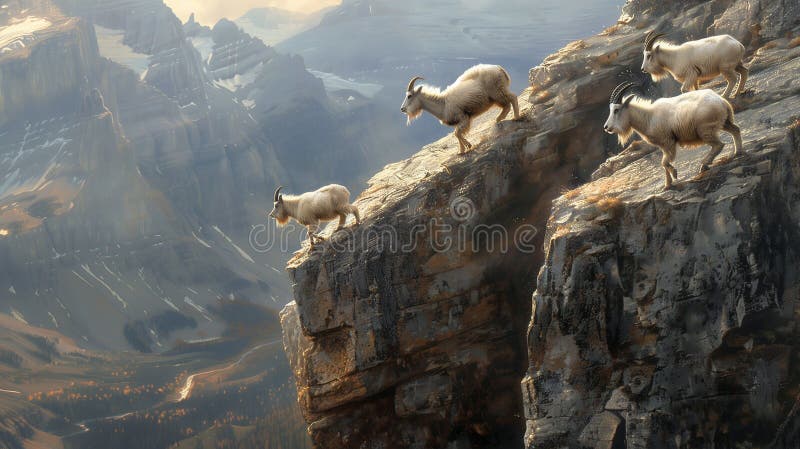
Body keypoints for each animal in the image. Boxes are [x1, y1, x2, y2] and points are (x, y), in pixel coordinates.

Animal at [603, 82, 743, 190]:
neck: (649, 117)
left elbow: (664, 162)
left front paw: (674, 175)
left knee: (719, 145)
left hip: (705, 131)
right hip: (725, 123)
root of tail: (722, 101)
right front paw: (667, 185)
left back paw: (704, 165)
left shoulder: (668, 142)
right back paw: (737, 152)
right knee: (735, 130)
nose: (606, 127)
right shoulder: (664, 146)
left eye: (616, 110)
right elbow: (663, 163)